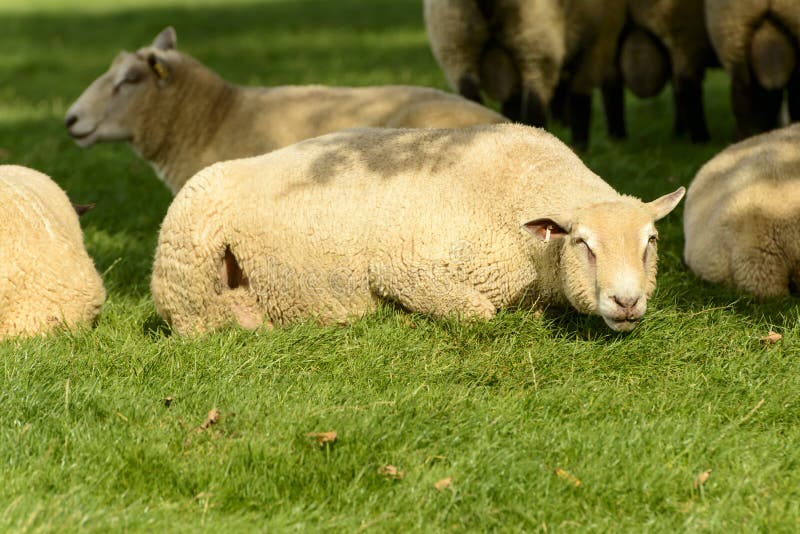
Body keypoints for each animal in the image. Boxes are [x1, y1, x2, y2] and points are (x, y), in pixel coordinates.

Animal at [150, 123, 685, 336]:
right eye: (583, 244)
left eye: (651, 243)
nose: (626, 302)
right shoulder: (409, 269)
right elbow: (478, 313)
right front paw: (404, 317)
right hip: (187, 270)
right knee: (198, 324)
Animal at [423, 0, 627, 150]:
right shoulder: (600, 40)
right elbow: (586, 98)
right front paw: (589, 144)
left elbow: (512, 103)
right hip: (535, 32)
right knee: (536, 102)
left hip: (454, 36)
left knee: (468, 97)